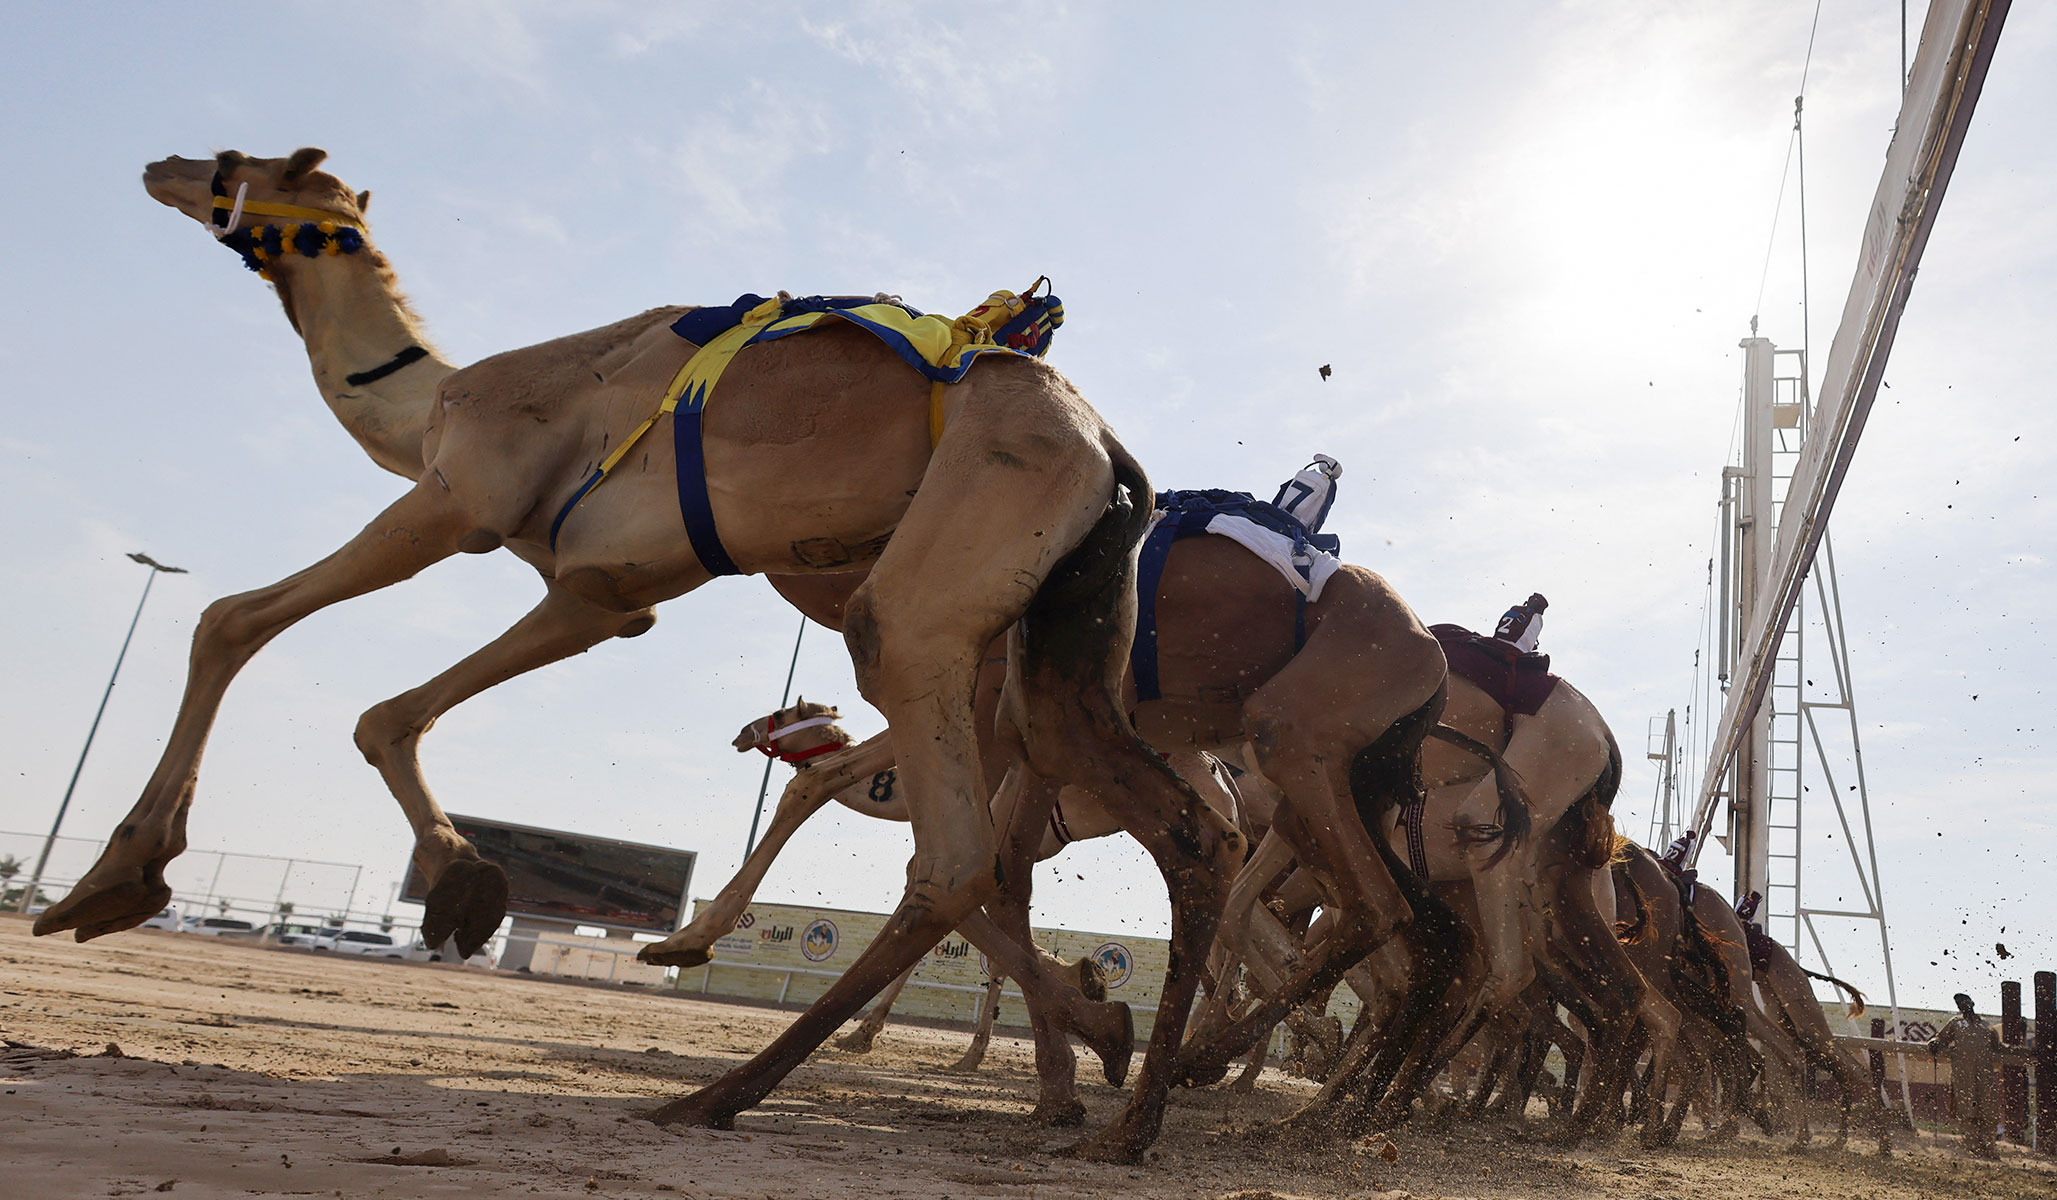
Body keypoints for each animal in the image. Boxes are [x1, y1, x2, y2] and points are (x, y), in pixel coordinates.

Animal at [37, 148, 1242, 1159]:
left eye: (234, 164)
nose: (160, 164)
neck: (428, 405)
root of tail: (1109, 452)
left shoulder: (455, 499)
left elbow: (232, 621)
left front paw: (109, 882)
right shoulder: (600, 592)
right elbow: (394, 711)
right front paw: (467, 884)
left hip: (938, 593)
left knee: (952, 848)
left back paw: (719, 1095)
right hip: (1058, 638)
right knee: (1181, 833)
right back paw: (1122, 1102)